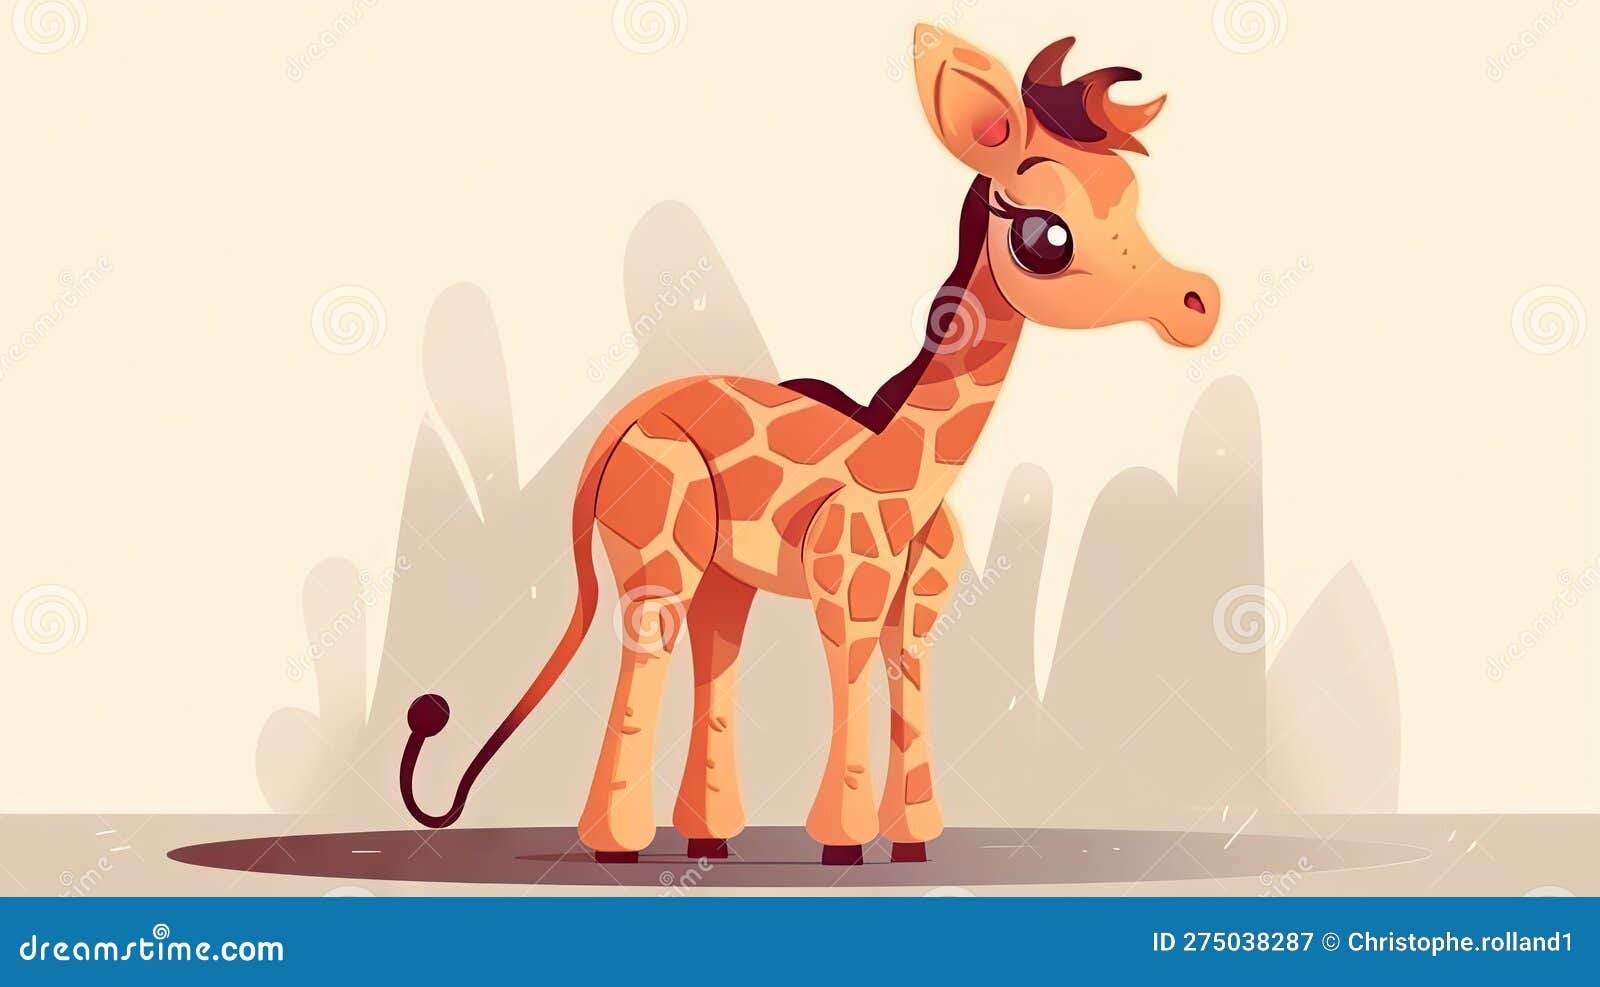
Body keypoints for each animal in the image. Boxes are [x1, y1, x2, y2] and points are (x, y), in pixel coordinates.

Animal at [399, 26, 1220, 865]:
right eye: (1045, 234)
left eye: (1132, 196)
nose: (1199, 304)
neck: (912, 474)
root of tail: (625, 420)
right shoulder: (845, 589)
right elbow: (848, 682)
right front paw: (843, 845)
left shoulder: (916, 611)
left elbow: (906, 685)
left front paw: (911, 843)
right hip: (658, 550)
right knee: (649, 647)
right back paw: (617, 845)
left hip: (726, 575)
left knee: (715, 654)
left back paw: (708, 839)